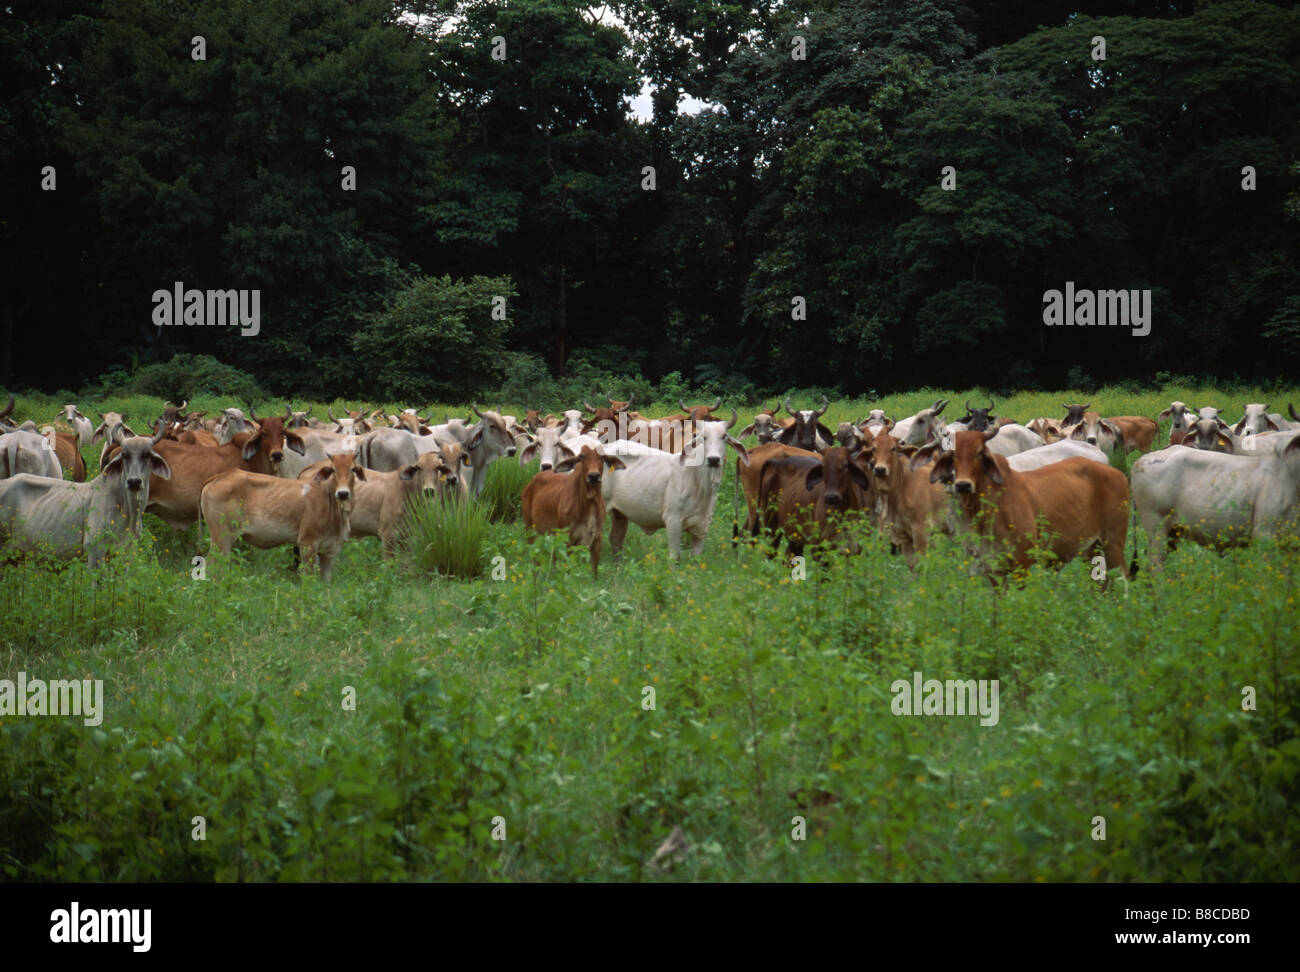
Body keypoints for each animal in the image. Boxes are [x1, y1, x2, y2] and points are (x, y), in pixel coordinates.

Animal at [0, 432, 171, 568]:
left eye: (147, 455)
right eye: (124, 455)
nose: (134, 482)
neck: (128, 512)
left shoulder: (127, 553)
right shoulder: (95, 551)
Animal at [201, 453, 363, 582]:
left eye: (353, 469)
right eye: (333, 470)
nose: (343, 493)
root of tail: (220, 476)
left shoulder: (330, 551)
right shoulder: (307, 544)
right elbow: (308, 578)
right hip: (221, 538)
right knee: (212, 565)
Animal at [522, 445, 625, 577]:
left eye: (602, 457)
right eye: (581, 457)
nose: (593, 476)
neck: (589, 505)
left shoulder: (597, 539)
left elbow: (594, 571)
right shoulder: (568, 538)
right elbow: (569, 568)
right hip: (529, 528)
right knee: (533, 558)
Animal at [602, 411, 749, 560]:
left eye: (724, 436)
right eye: (703, 437)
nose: (713, 459)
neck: (700, 484)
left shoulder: (702, 528)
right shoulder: (673, 521)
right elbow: (675, 557)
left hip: (619, 514)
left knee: (615, 541)